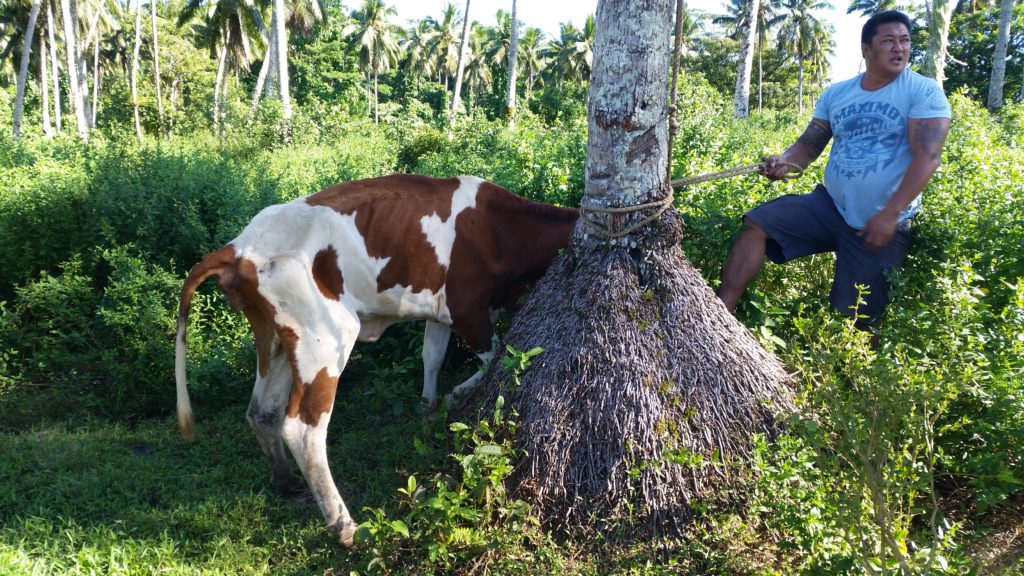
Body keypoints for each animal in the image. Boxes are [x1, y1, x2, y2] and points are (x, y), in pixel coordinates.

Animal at [174, 174, 578, 547]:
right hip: (327, 336)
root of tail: (238, 247)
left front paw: (429, 406)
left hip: (273, 338)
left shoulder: (439, 311)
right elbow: (495, 357)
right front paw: (454, 396)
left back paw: (286, 482)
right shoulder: (469, 310)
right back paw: (345, 526)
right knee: (303, 429)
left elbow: (432, 356)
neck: (499, 228)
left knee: (262, 410)